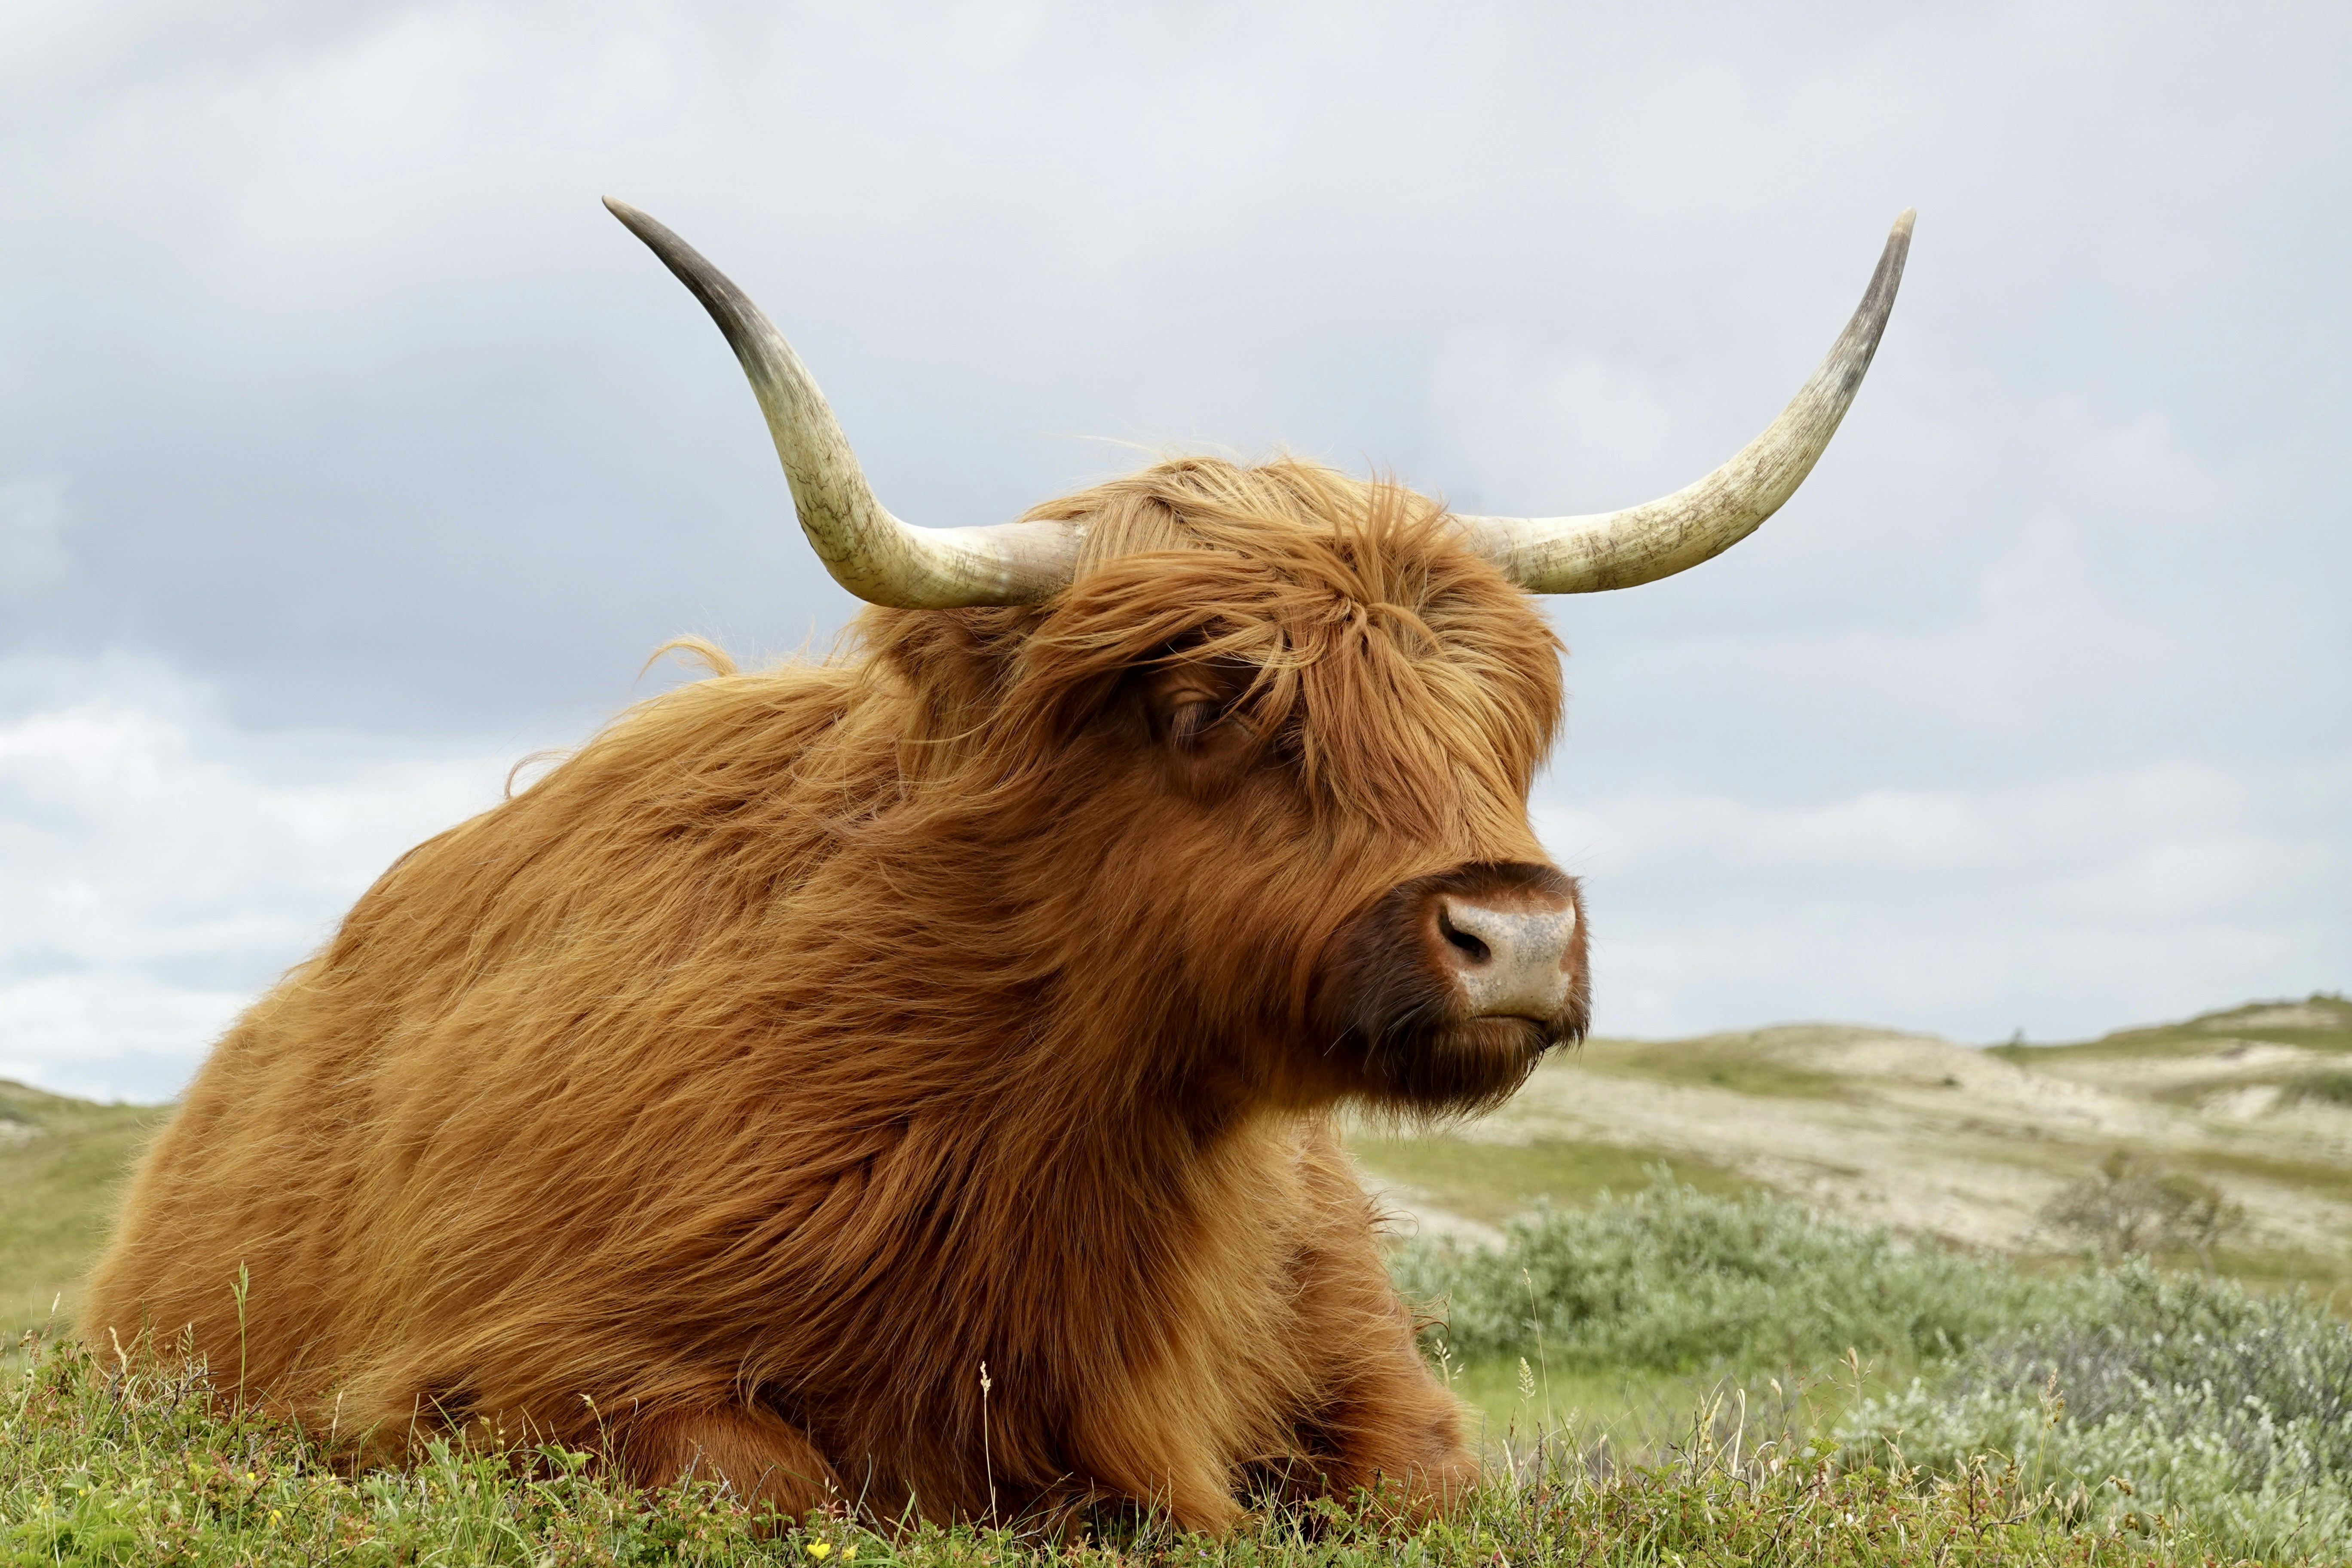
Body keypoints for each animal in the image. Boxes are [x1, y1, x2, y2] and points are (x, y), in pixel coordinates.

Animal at [86, 200, 1909, 1533]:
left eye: (1501, 711)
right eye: (1203, 699)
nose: (1513, 932)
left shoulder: (1368, 1365)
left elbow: (1420, 1479)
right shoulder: (498, 1369)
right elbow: (775, 1478)